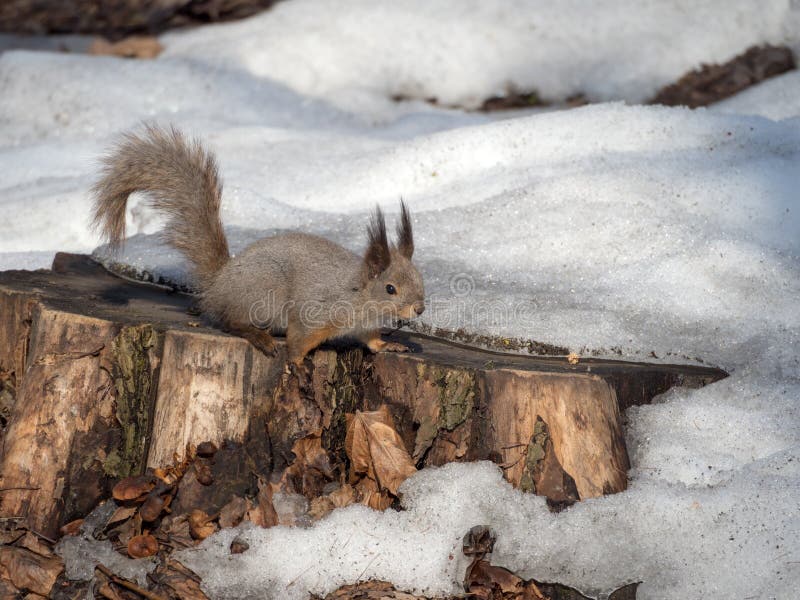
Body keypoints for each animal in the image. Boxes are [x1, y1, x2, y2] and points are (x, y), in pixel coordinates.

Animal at [91, 125, 425, 366]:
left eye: (420, 280)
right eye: (390, 288)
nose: (420, 309)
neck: (360, 295)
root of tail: (220, 283)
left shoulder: (364, 325)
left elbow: (371, 340)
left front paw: (388, 344)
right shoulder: (317, 311)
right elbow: (299, 338)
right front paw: (297, 363)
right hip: (266, 292)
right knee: (229, 320)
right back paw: (257, 335)